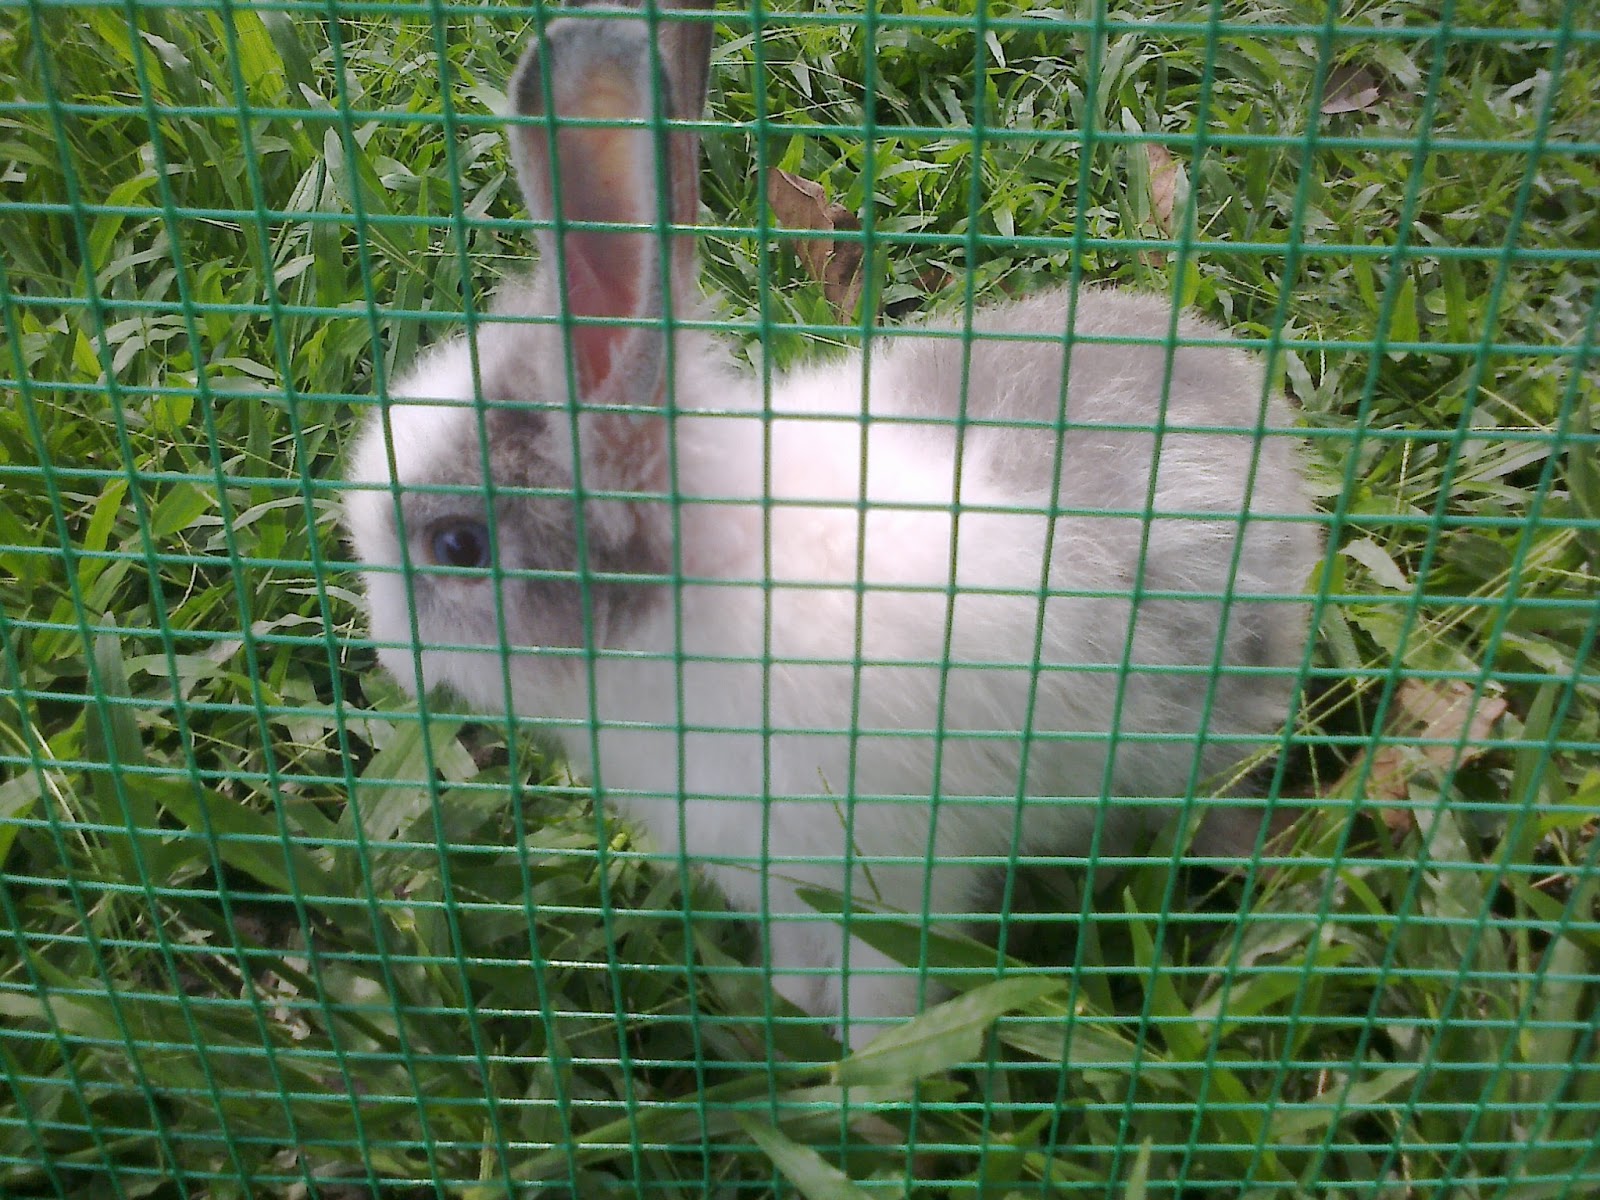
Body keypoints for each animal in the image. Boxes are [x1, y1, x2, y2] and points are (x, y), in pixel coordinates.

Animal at [342, 1, 1324, 1049]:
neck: (705, 581)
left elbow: (879, 999)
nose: (387, 648)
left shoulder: (879, 884)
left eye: (457, 547)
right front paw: (789, 1022)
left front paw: (860, 1072)